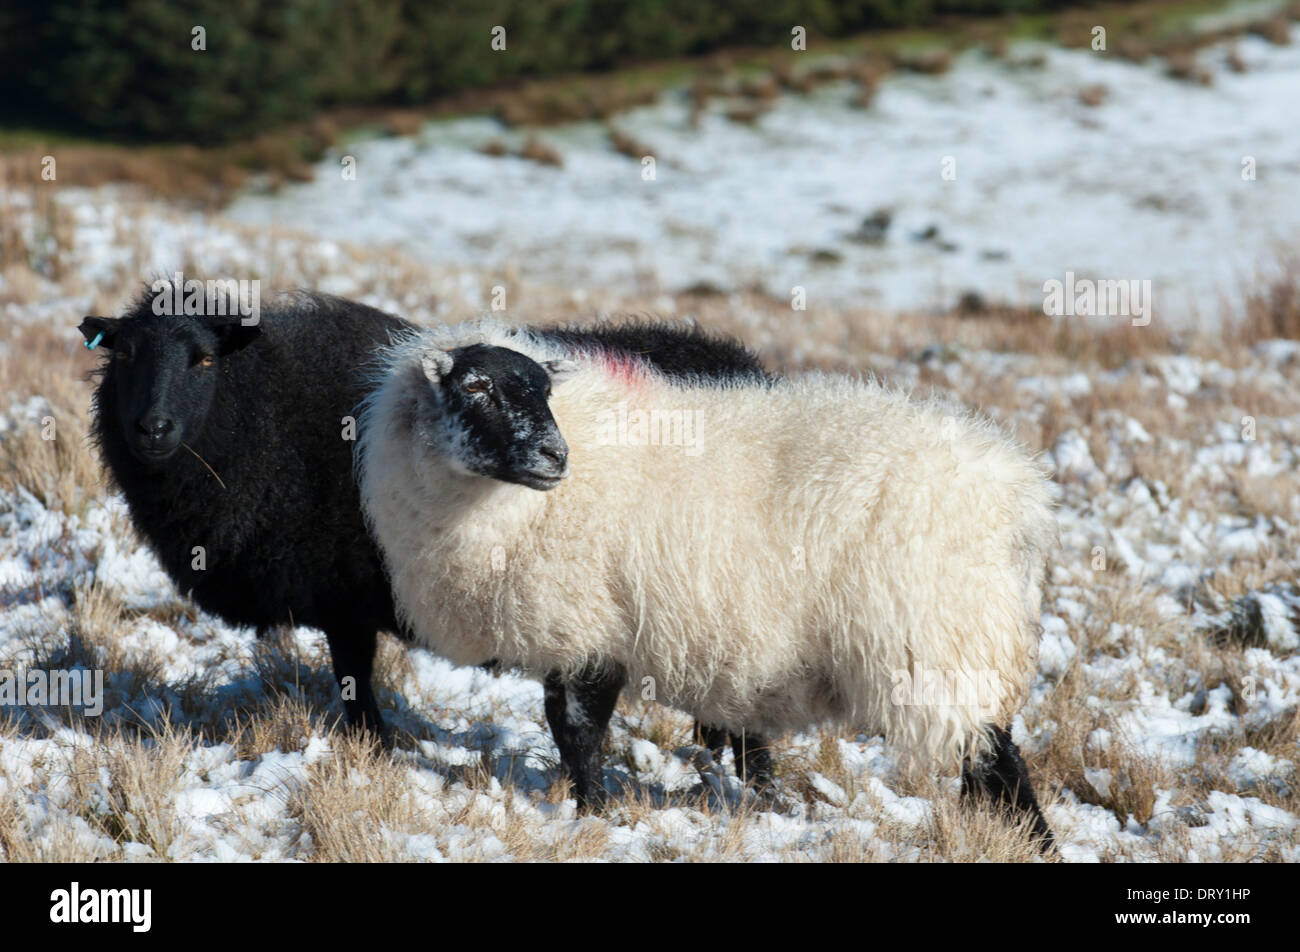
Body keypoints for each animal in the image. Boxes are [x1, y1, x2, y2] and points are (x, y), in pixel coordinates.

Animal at [80, 284, 769, 759]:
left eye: (203, 360)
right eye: (126, 354)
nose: (153, 428)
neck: (265, 413)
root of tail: (750, 365)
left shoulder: (346, 604)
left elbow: (355, 682)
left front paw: (375, 749)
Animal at [357, 322, 1058, 844]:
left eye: (544, 392)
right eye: (477, 387)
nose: (555, 457)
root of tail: (1010, 489)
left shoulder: (589, 623)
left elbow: (576, 729)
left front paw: (593, 814)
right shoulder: (582, 628)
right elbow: (570, 725)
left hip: (939, 637)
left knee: (996, 759)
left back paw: (1034, 840)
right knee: (983, 757)